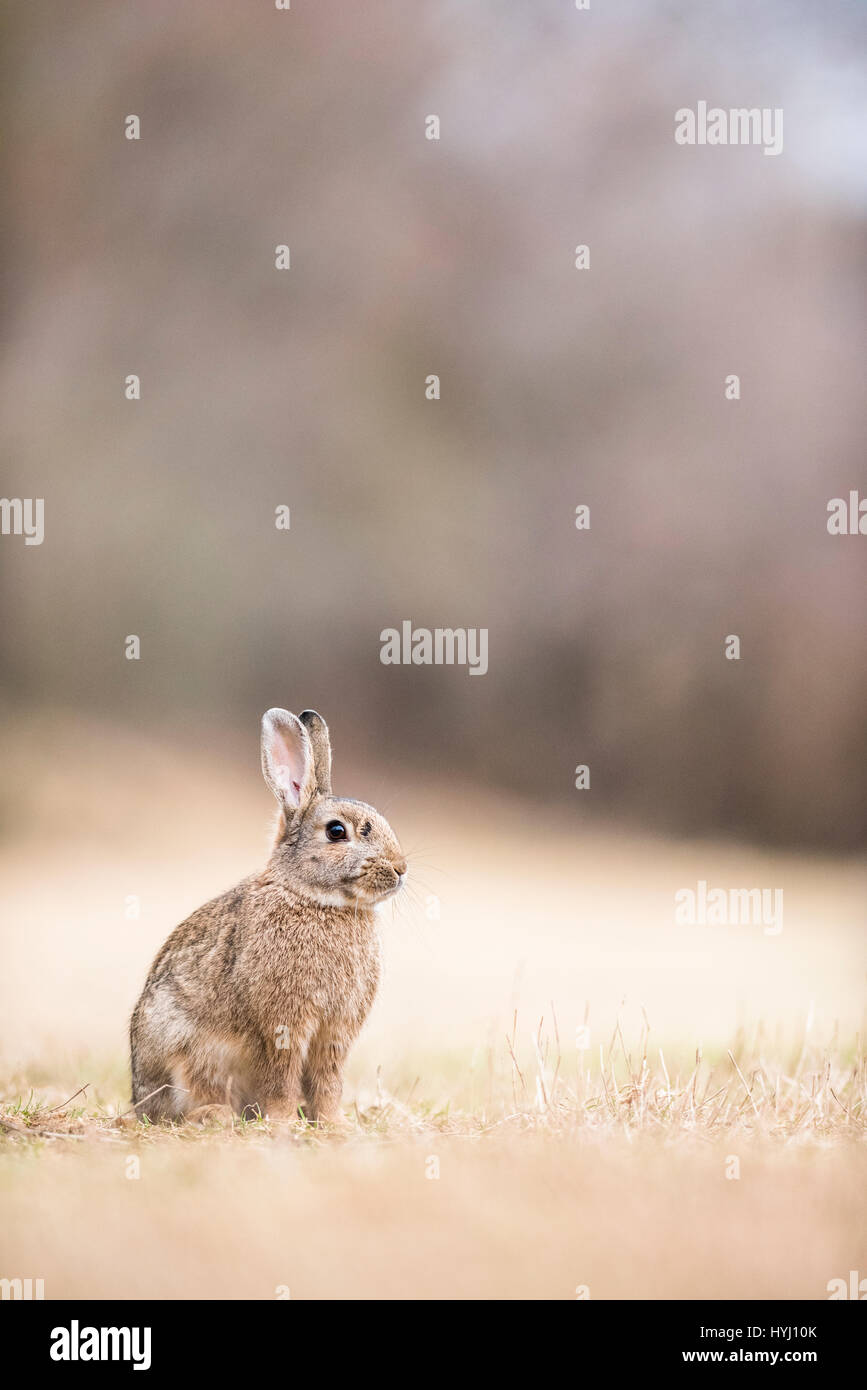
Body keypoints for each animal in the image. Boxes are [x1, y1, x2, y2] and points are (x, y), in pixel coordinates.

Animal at [129, 708, 406, 1124]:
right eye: (336, 831)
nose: (401, 868)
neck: (317, 900)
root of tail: (139, 1098)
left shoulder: (335, 1033)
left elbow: (328, 1082)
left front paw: (333, 1124)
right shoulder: (284, 1023)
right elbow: (282, 1076)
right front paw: (284, 1122)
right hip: (189, 1051)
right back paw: (216, 1115)